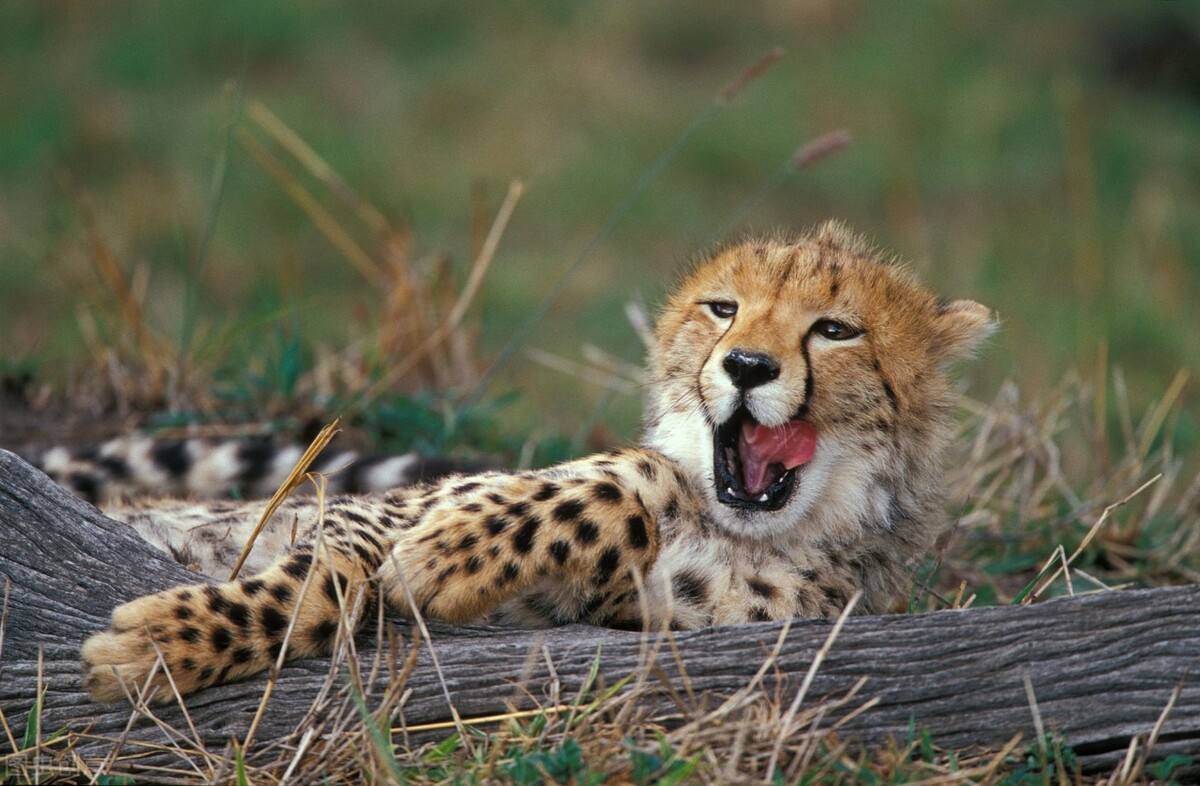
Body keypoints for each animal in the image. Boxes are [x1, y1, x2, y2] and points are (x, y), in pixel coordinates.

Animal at [79, 221, 996, 703]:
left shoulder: (652, 617)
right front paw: (163, 643)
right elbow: (331, 577)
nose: (746, 366)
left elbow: (615, 510)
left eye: (836, 330)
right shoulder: (368, 511)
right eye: (723, 309)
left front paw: (445, 562)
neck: (742, 527)